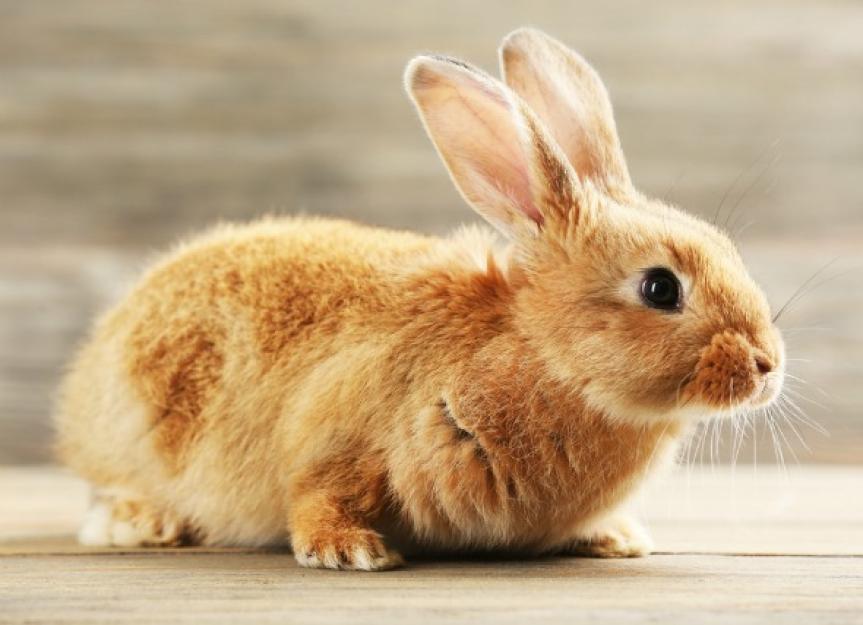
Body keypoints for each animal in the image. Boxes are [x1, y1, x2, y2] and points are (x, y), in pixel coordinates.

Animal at [55, 27, 785, 571]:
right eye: (660, 287)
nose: (767, 366)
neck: (543, 360)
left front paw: (617, 538)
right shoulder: (338, 428)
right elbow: (318, 492)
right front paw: (349, 552)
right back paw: (140, 524)